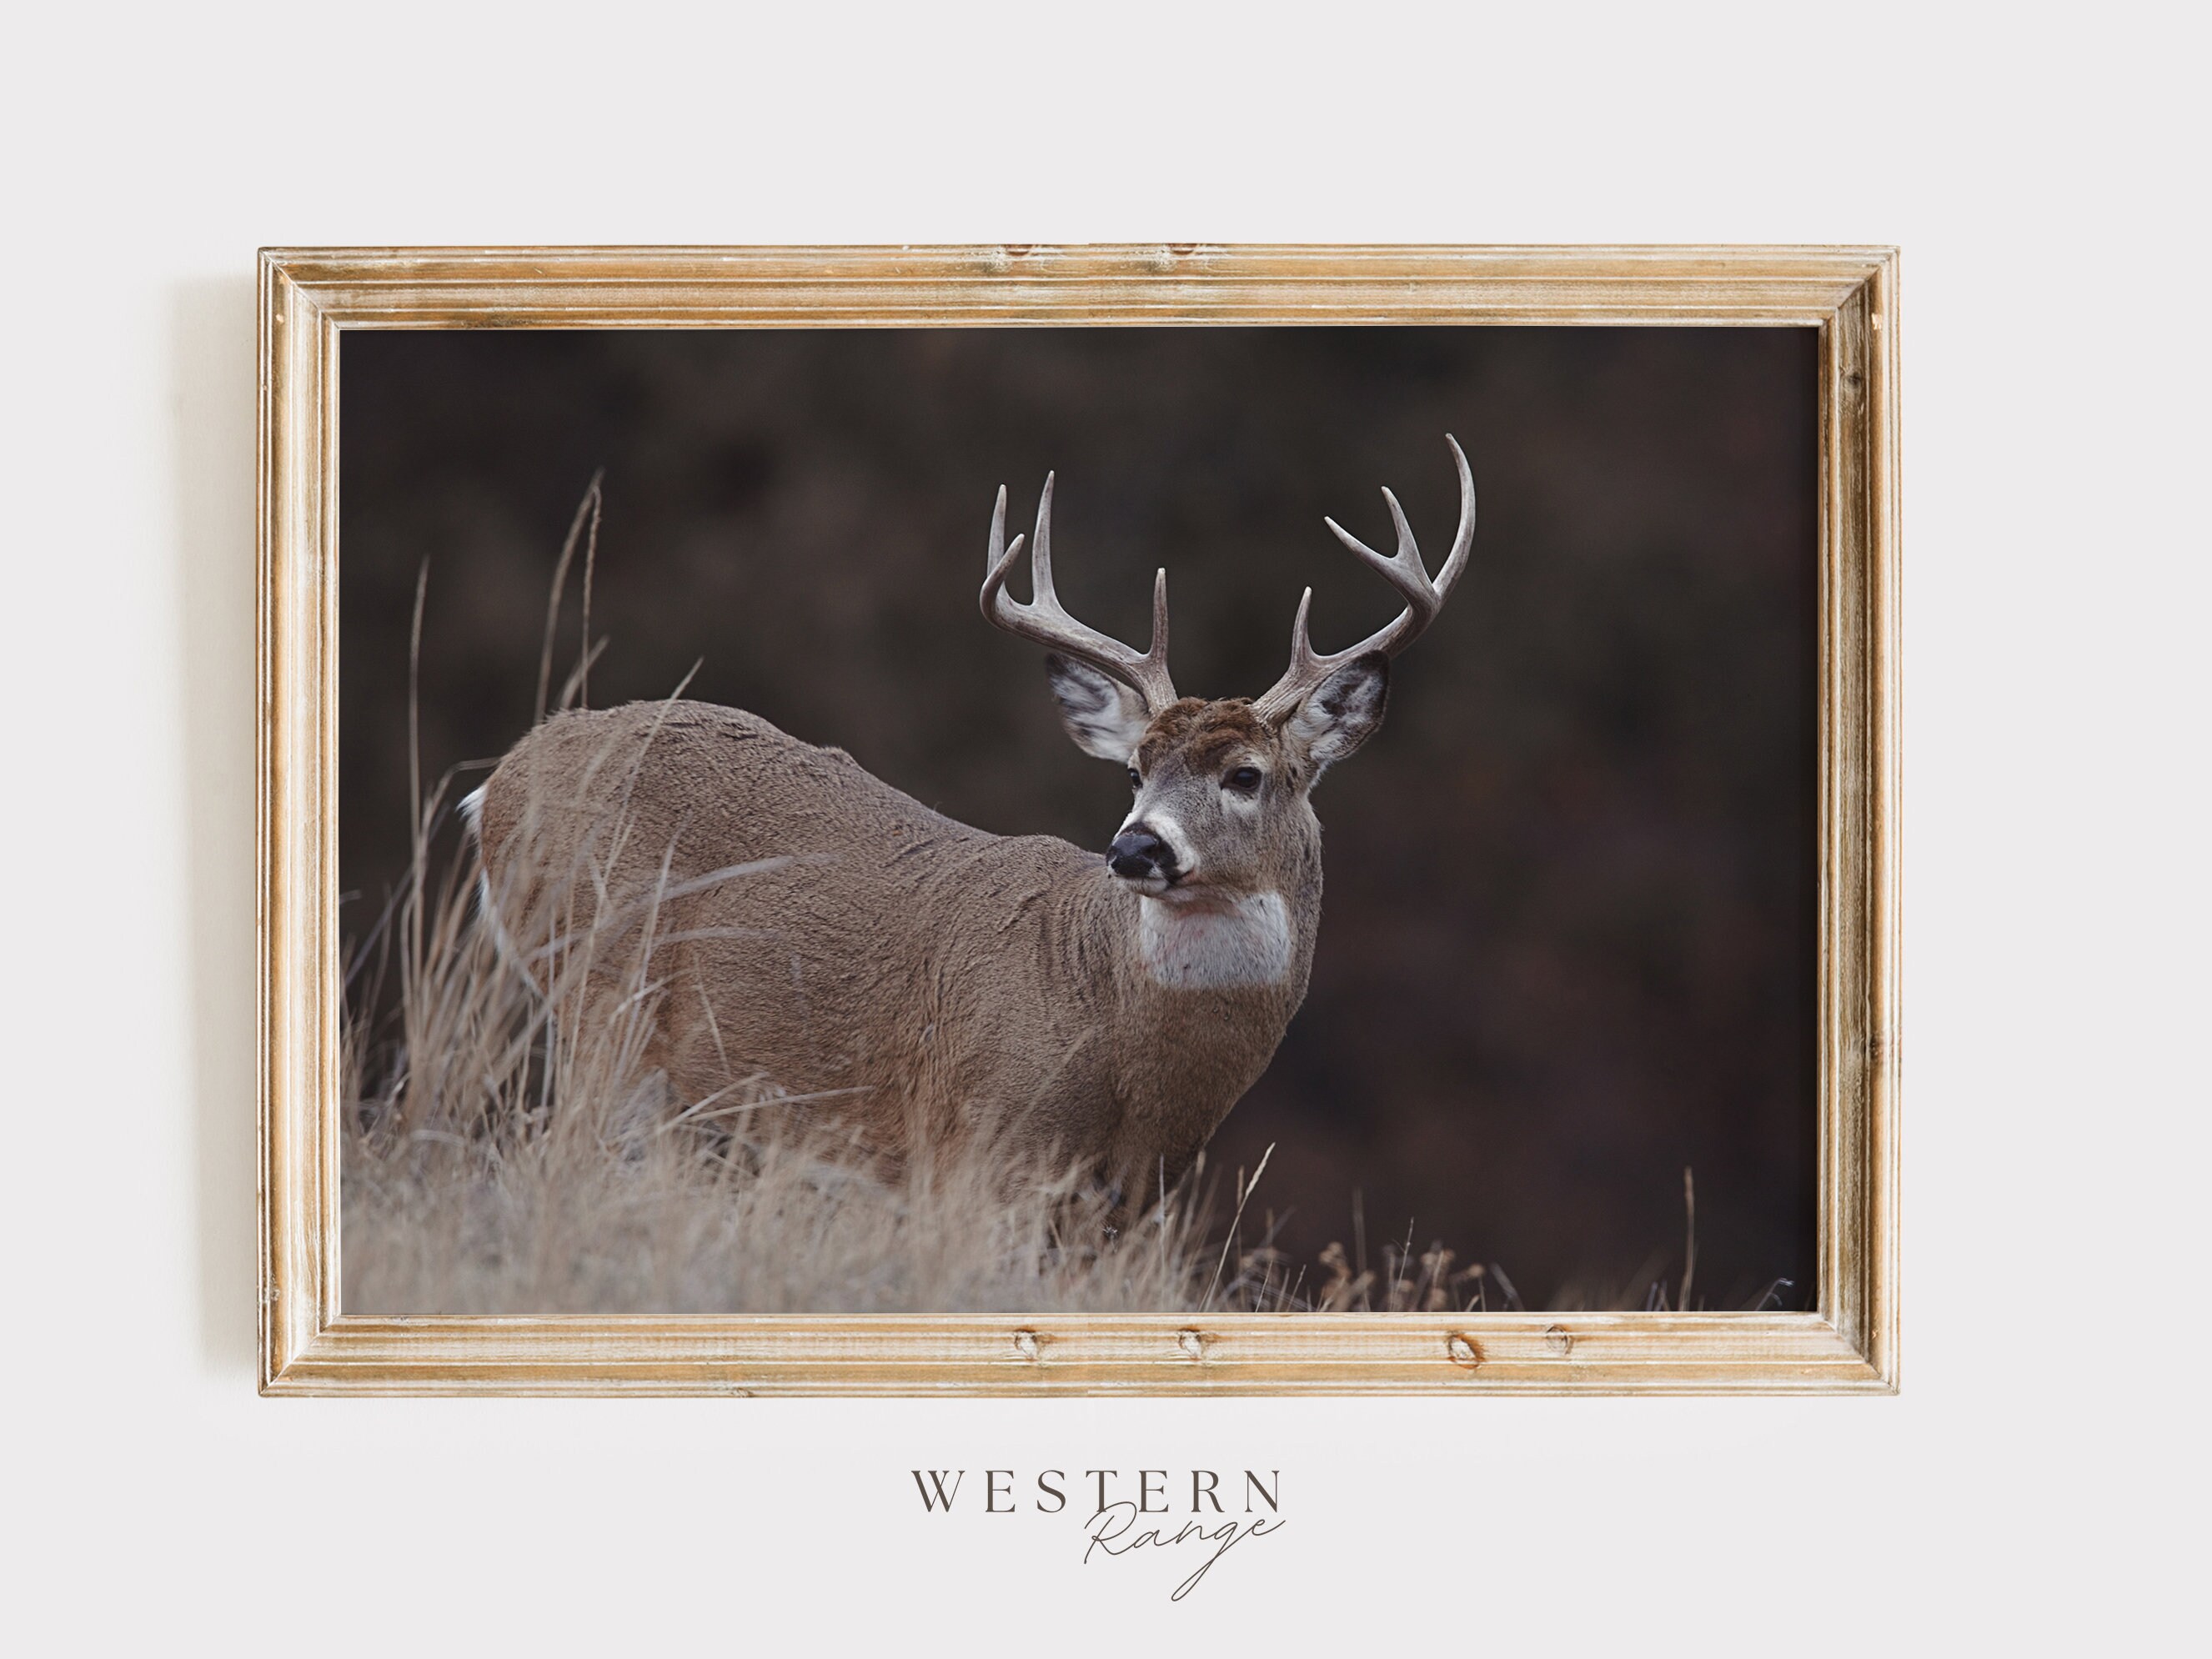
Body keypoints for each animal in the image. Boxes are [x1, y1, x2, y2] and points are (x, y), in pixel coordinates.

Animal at [467, 436, 1475, 1209]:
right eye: (1136, 770)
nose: (1135, 846)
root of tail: (502, 781)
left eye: (1245, 775)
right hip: (602, 996)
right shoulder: (976, 1143)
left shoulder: (1124, 1204)